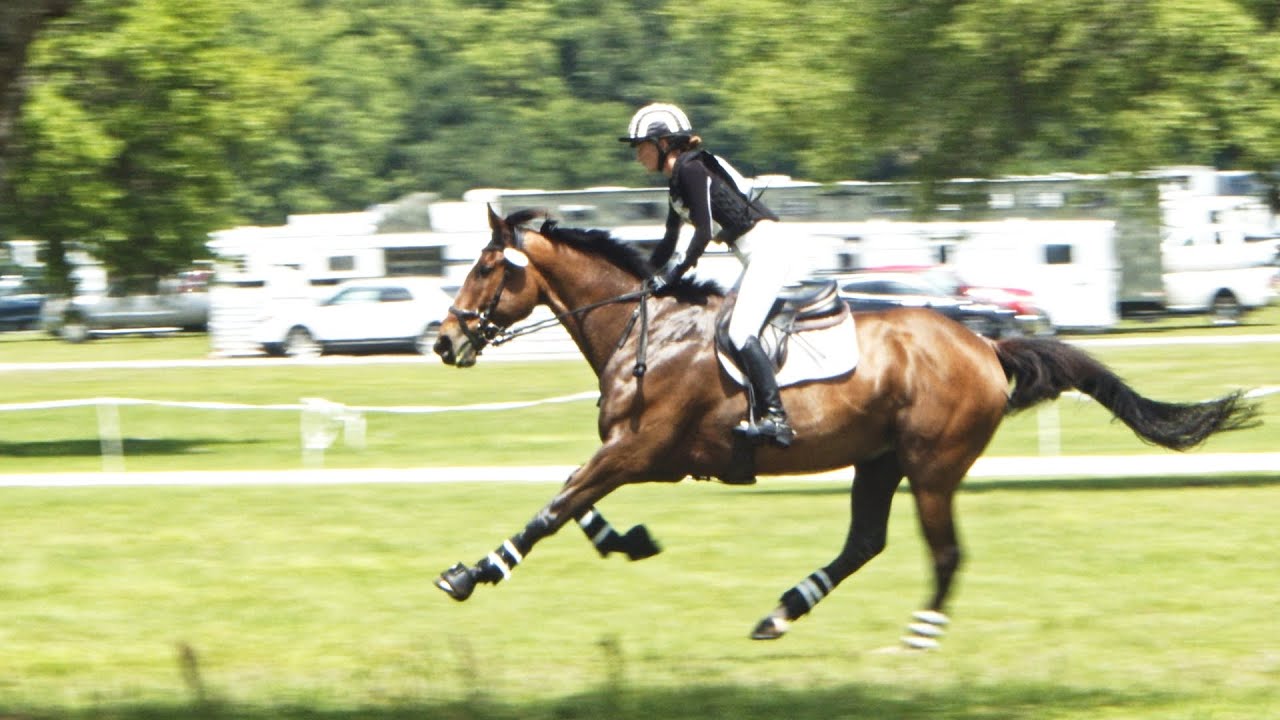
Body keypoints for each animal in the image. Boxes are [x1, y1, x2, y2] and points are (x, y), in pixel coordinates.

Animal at [431, 206, 1258, 645]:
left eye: (485, 268)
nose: (442, 342)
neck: (649, 329)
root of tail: (986, 344)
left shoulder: (639, 450)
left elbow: (556, 506)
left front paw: (470, 573)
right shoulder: (633, 453)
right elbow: (575, 501)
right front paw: (630, 541)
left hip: (931, 466)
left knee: (944, 552)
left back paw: (919, 637)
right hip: (879, 460)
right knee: (865, 542)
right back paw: (781, 612)